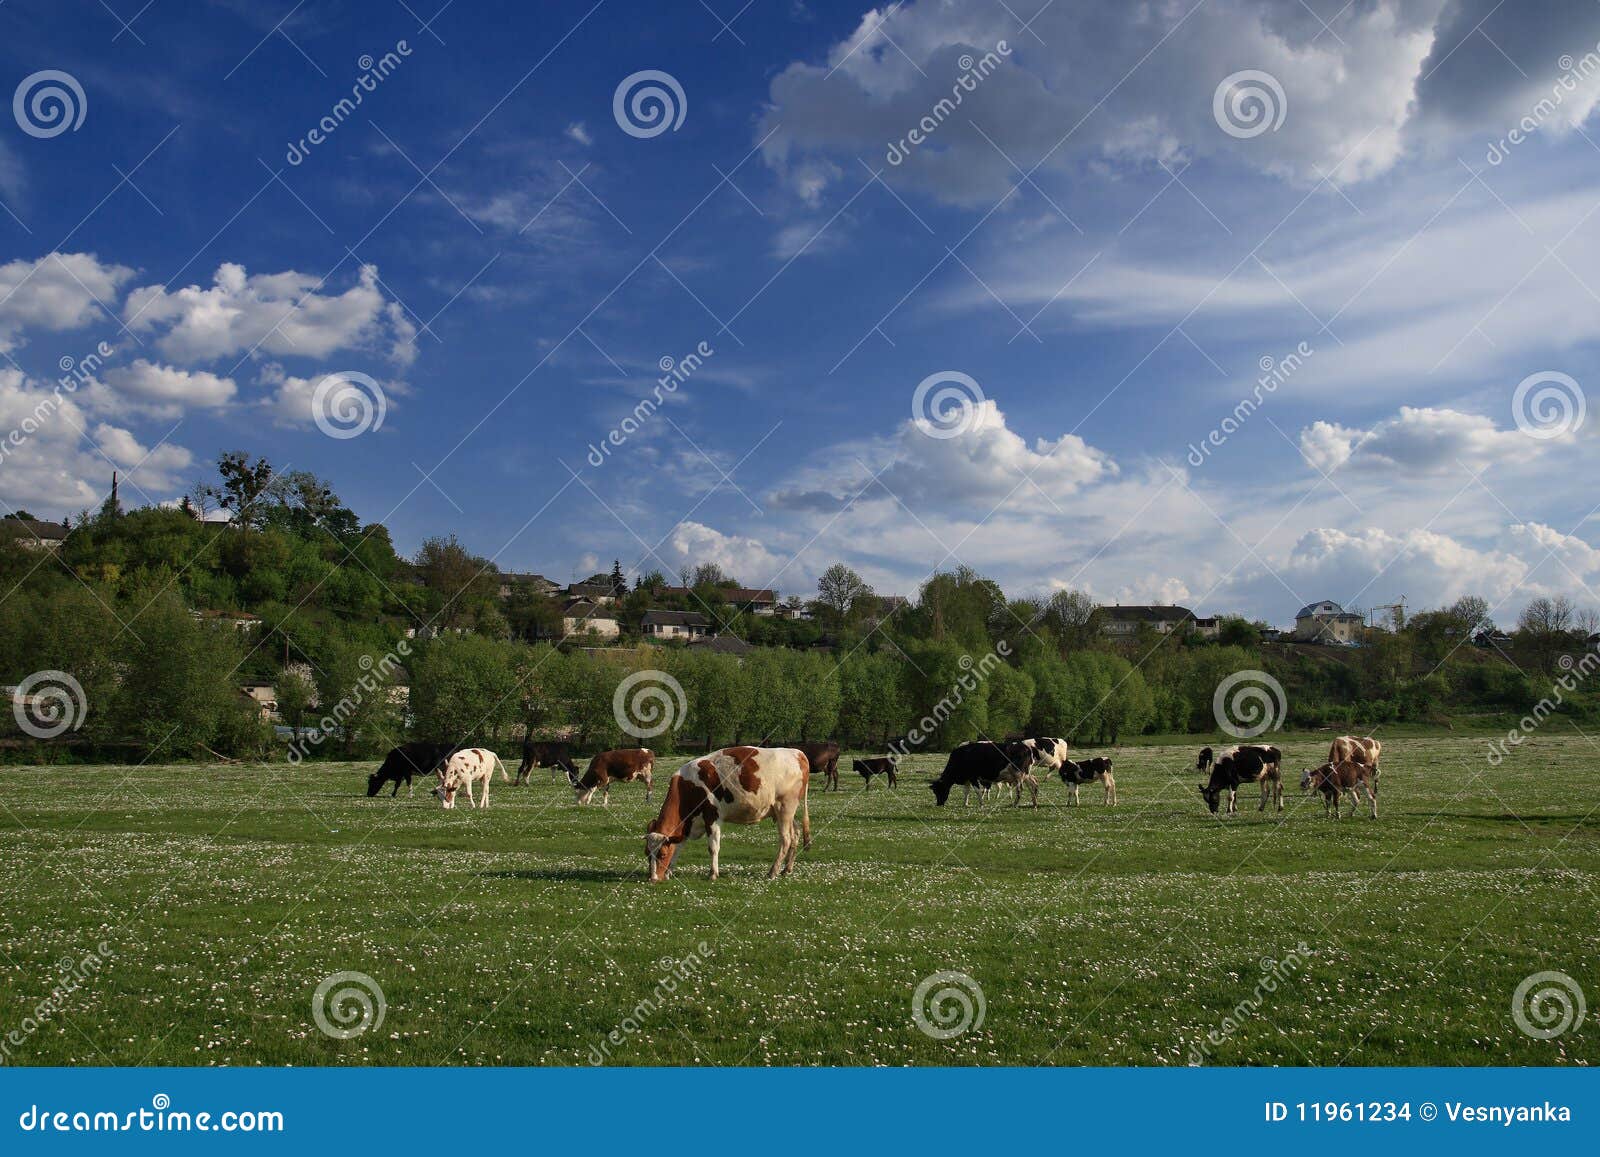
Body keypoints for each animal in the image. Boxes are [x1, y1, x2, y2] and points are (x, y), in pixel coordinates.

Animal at [645, 746, 812, 882]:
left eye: (662, 855)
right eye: (647, 854)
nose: (653, 879)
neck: (687, 787)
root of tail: (797, 753)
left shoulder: (712, 817)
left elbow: (713, 847)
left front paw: (713, 874)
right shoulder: (687, 825)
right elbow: (679, 847)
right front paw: (669, 873)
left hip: (785, 808)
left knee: (786, 839)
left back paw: (773, 872)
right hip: (784, 812)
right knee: (795, 834)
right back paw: (786, 869)